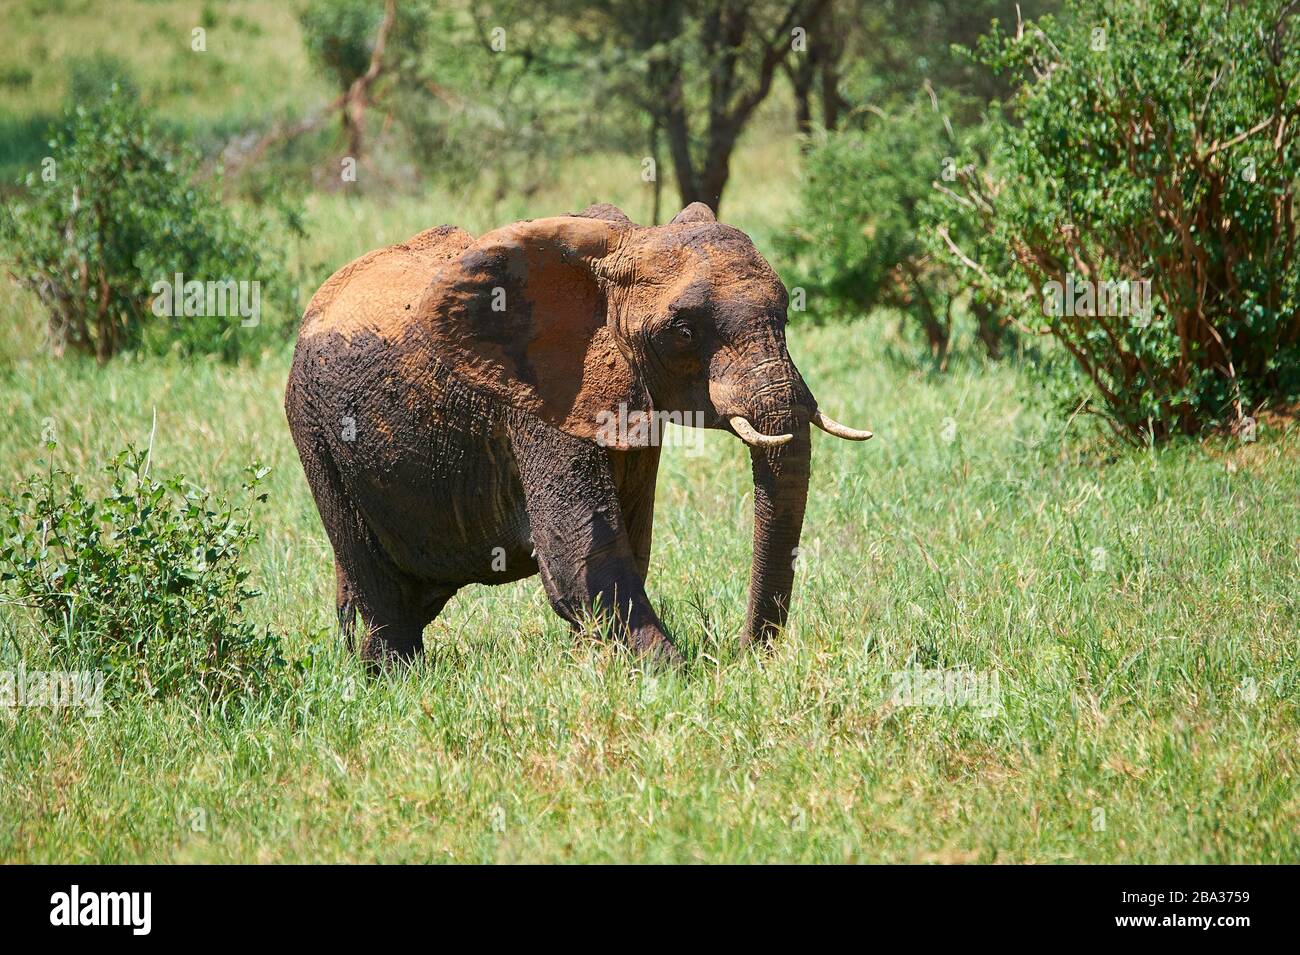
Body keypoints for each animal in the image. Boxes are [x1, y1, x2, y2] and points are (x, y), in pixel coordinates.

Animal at [284, 201, 871, 668]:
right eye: (683, 332)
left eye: (785, 315)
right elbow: (583, 556)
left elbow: (628, 544)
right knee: (381, 592)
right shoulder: (537, 403)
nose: (747, 650)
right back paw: (396, 681)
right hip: (314, 430)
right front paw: (680, 677)